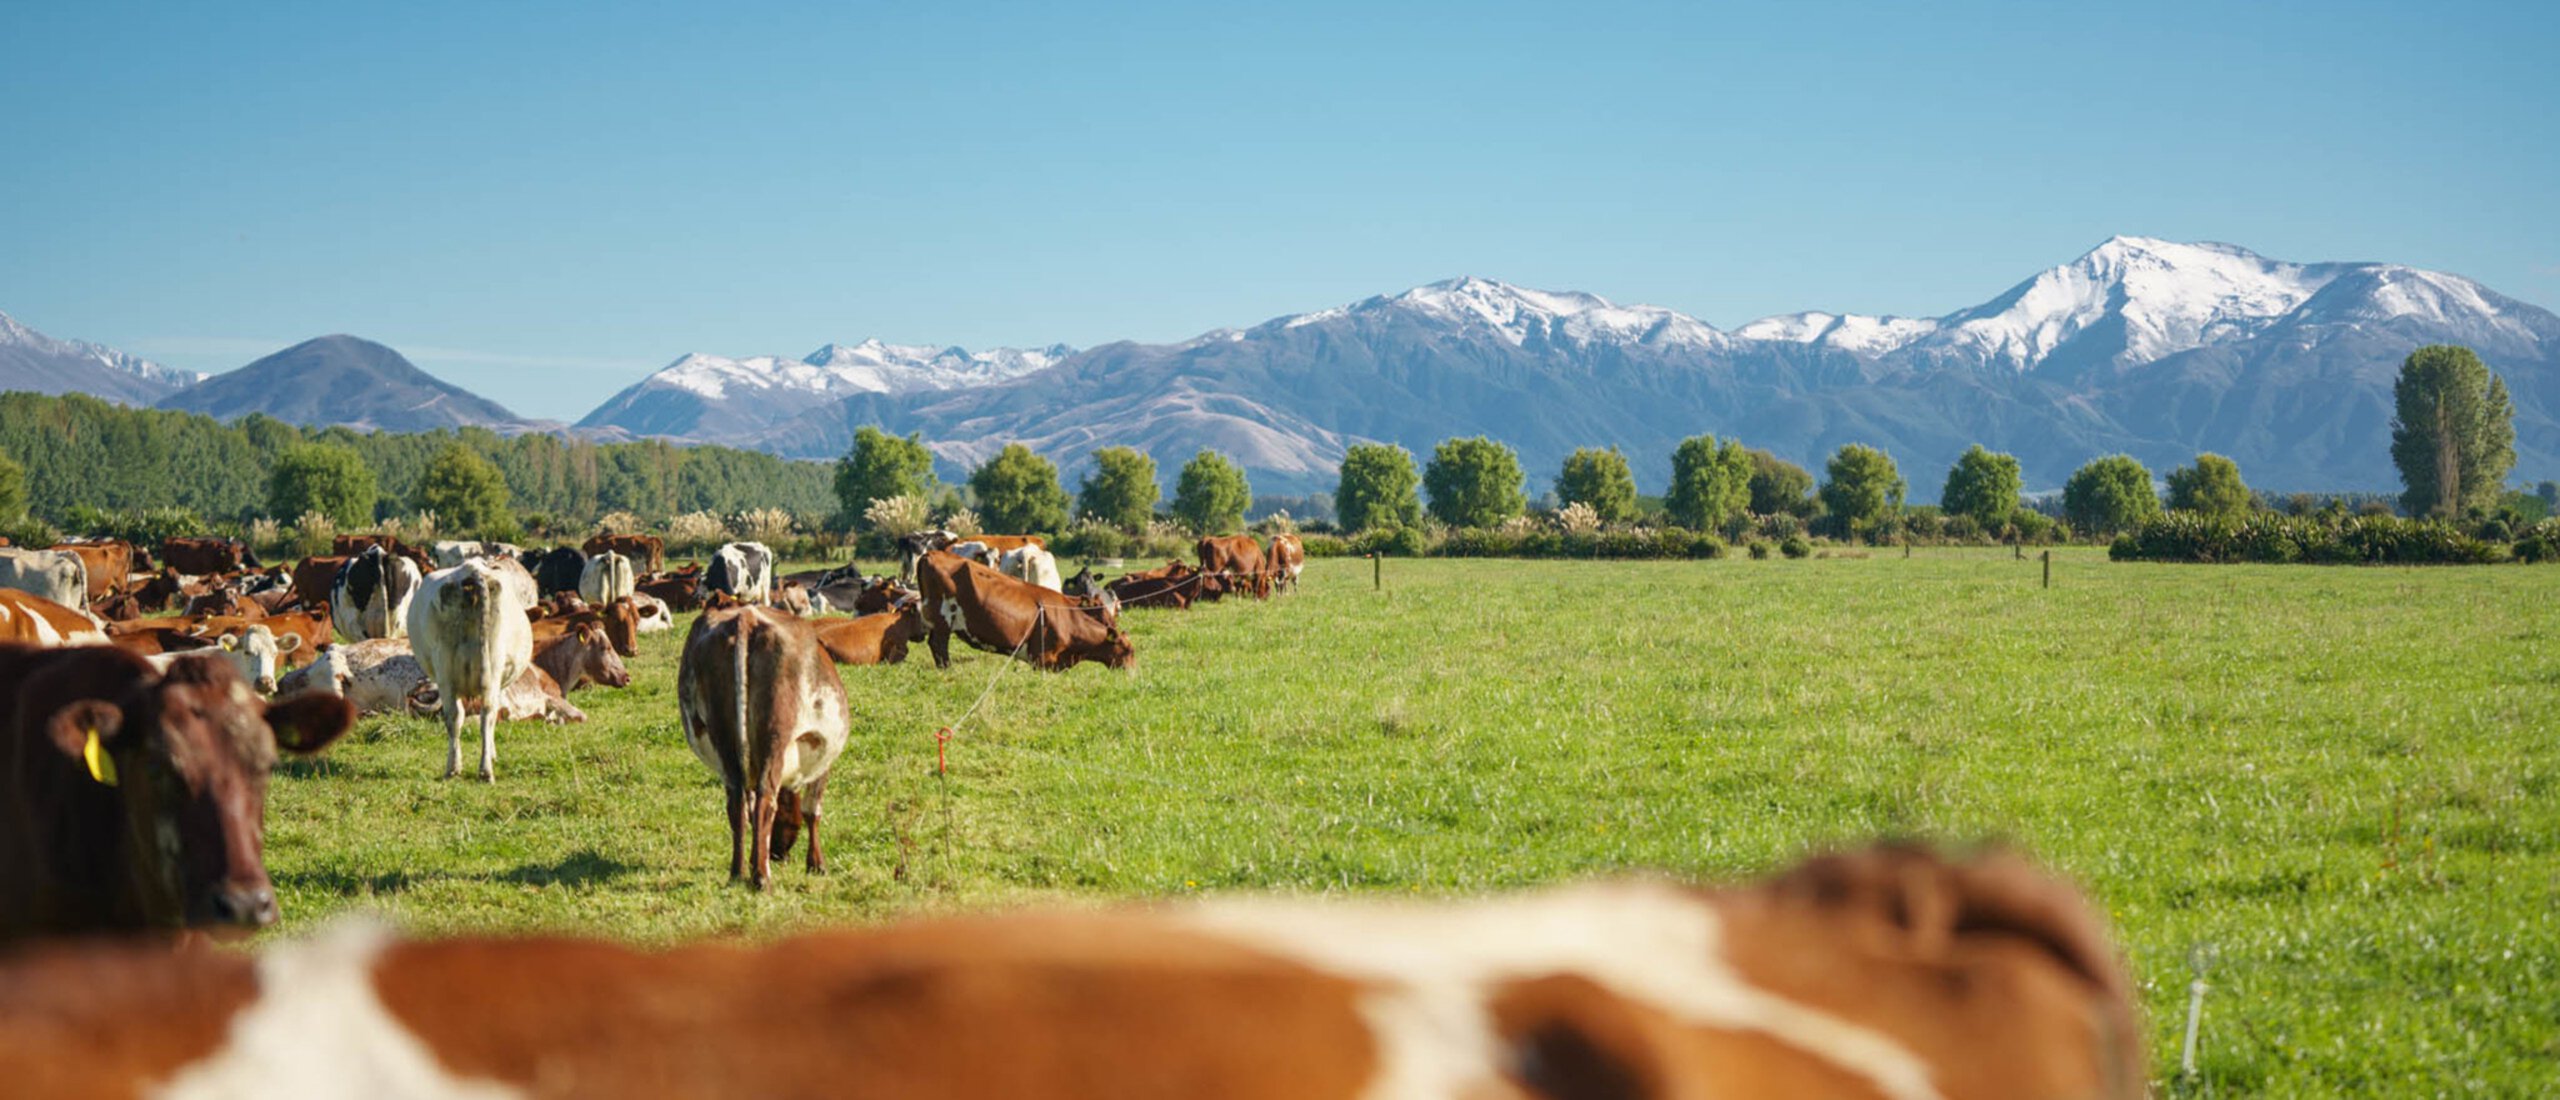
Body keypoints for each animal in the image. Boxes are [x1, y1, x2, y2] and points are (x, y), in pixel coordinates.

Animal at [406, 558, 537, 782]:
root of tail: (472, 570)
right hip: (490, 663)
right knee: (486, 715)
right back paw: (483, 769)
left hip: (446, 668)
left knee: (455, 716)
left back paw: (454, 768)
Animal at [677, 605, 850, 889]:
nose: (779, 855)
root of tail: (746, 616)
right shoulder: (824, 763)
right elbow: (812, 811)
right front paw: (817, 864)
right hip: (776, 735)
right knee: (767, 799)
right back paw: (761, 878)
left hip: (725, 741)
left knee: (737, 804)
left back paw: (738, 873)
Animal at [914, 551, 1132, 671]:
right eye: (1100, 610)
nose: (1114, 626)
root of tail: (931, 554)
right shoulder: (1041, 659)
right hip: (943, 619)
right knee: (939, 645)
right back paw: (947, 670)